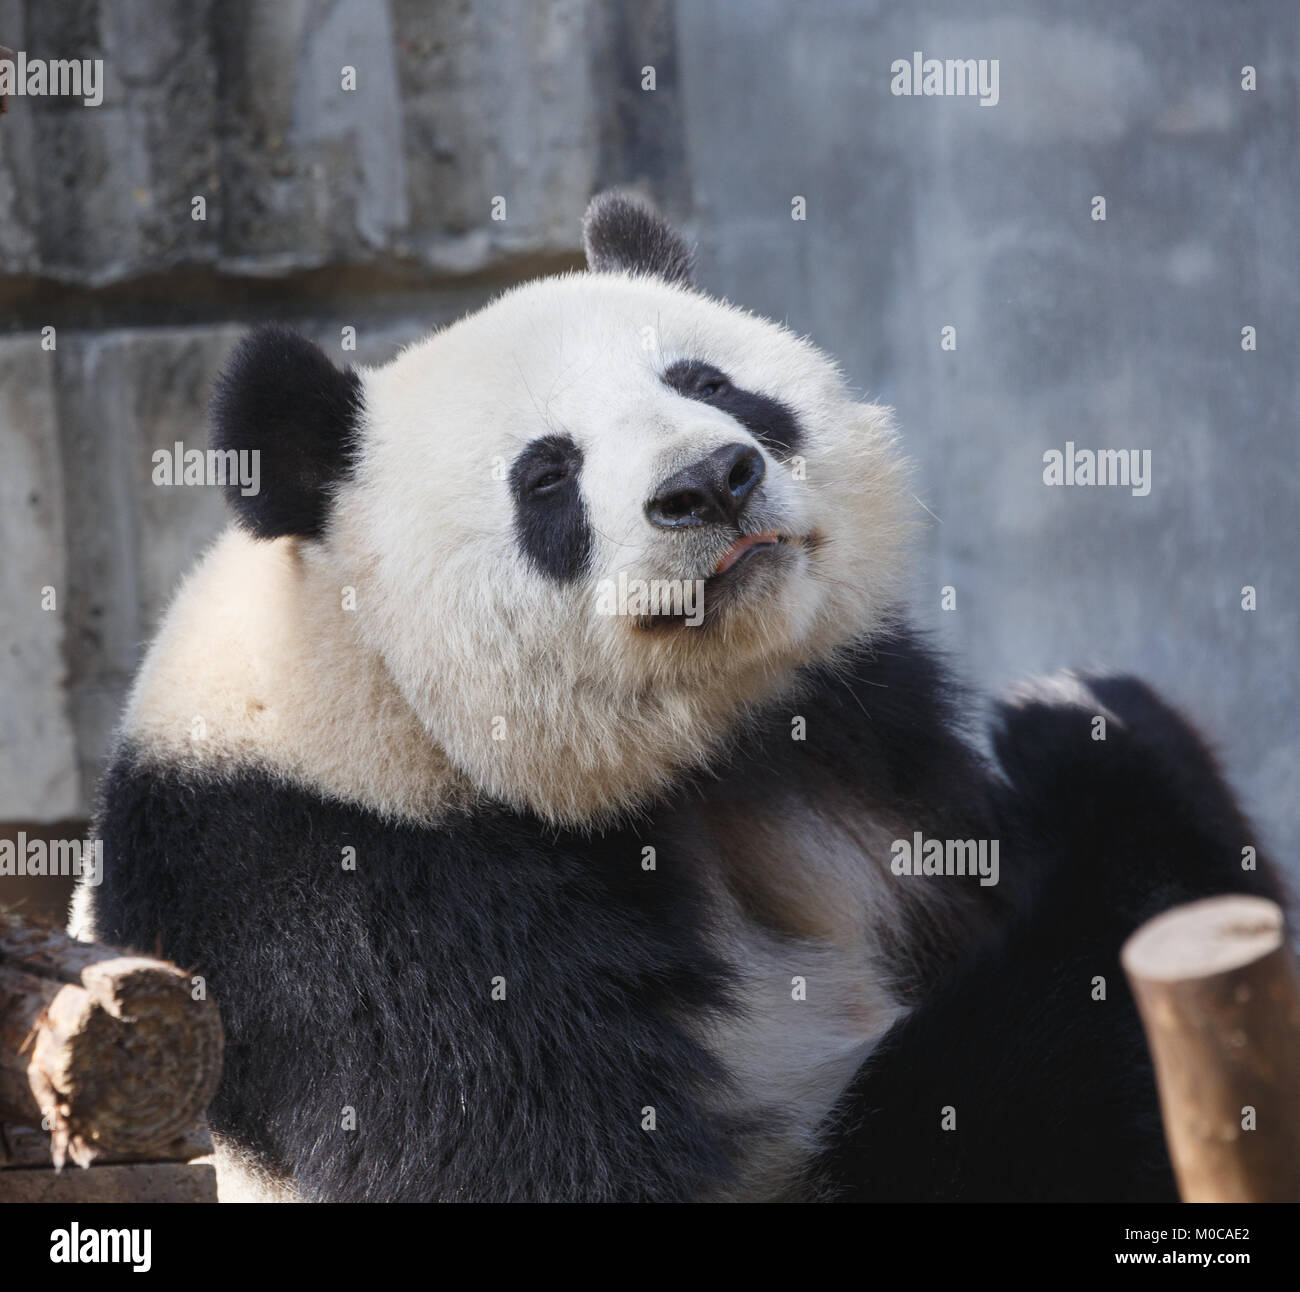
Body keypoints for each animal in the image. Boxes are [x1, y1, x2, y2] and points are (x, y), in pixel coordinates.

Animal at [74, 192, 1281, 1203]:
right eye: (546, 475)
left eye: (710, 384)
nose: (710, 481)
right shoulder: (350, 909)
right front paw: (1082, 757)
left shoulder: (856, 745)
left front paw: (1097, 728)